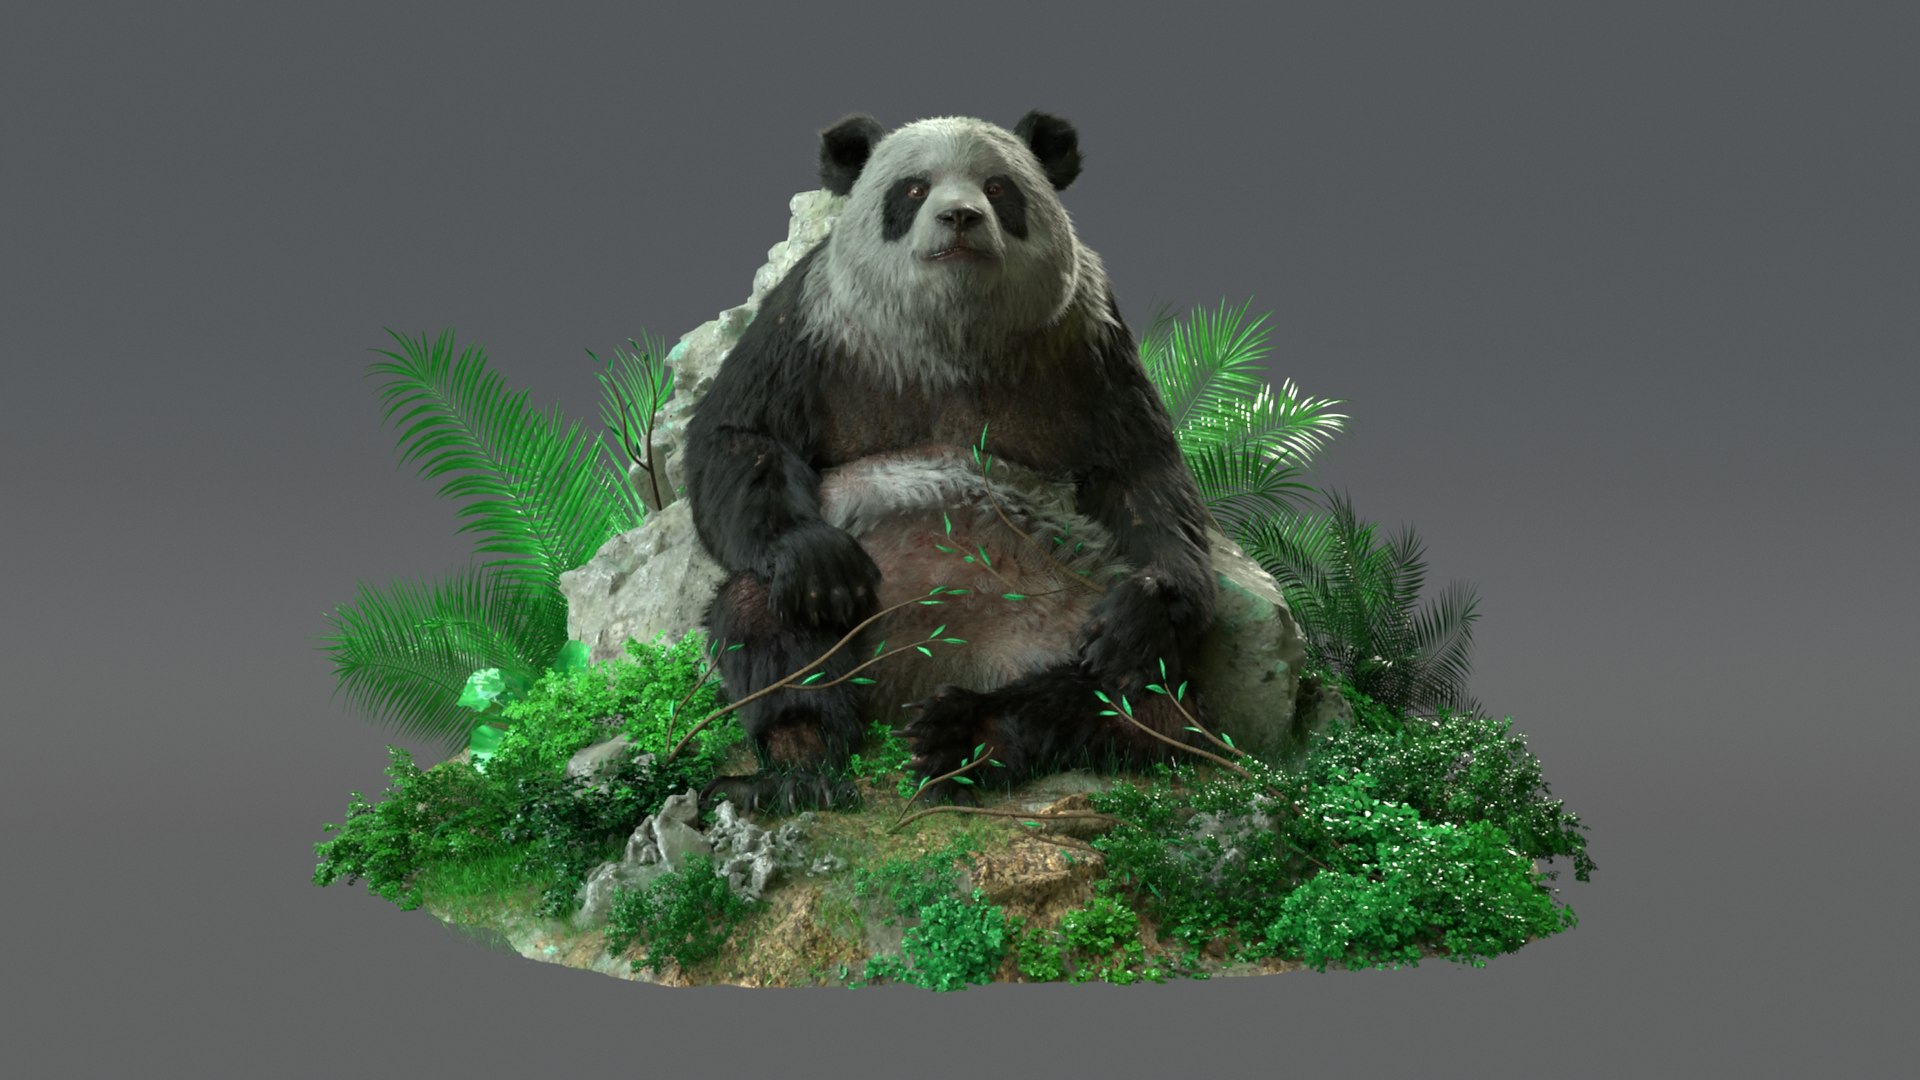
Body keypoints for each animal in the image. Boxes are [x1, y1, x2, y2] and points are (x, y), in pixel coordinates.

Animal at [685, 110, 1219, 814]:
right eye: (913, 190)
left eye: (998, 189)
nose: (960, 217)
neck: (951, 329)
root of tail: (918, 675)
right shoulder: (814, 322)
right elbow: (740, 433)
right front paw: (820, 562)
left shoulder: (1086, 339)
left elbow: (1140, 472)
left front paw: (1147, 605)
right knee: (768, 624)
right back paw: (798, 768)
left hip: (1063, 613)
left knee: (1130, 694)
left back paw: (966, 735)